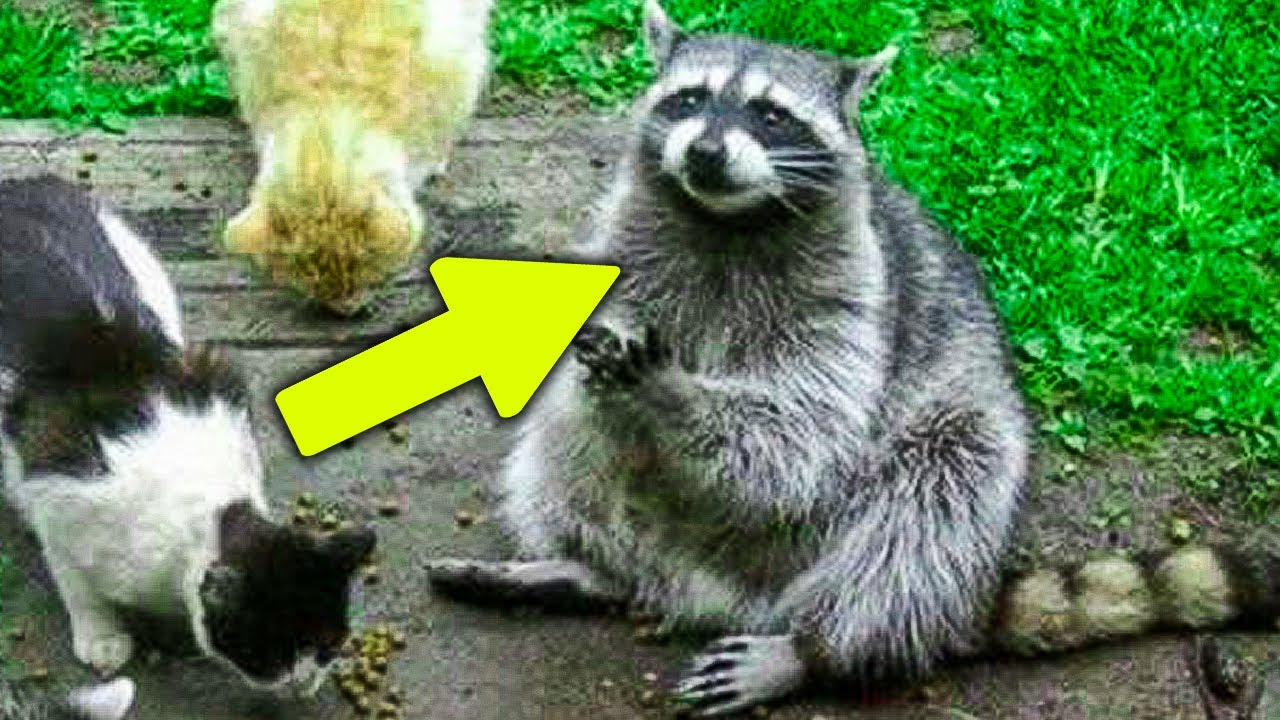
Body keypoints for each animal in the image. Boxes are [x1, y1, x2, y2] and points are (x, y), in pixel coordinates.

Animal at [425, 2, 1280, 715]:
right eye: (690, 100)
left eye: (771, 114)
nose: (705, 152)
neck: (721, 220)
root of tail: (698, 586)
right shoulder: (624, 243)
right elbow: (576, 352)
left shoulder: (854, 289)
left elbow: (804, 426)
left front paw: (674, 392)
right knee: (566, 437)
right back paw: (586, 564)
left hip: (909, 483)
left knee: (937, 493)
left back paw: (817, 648)